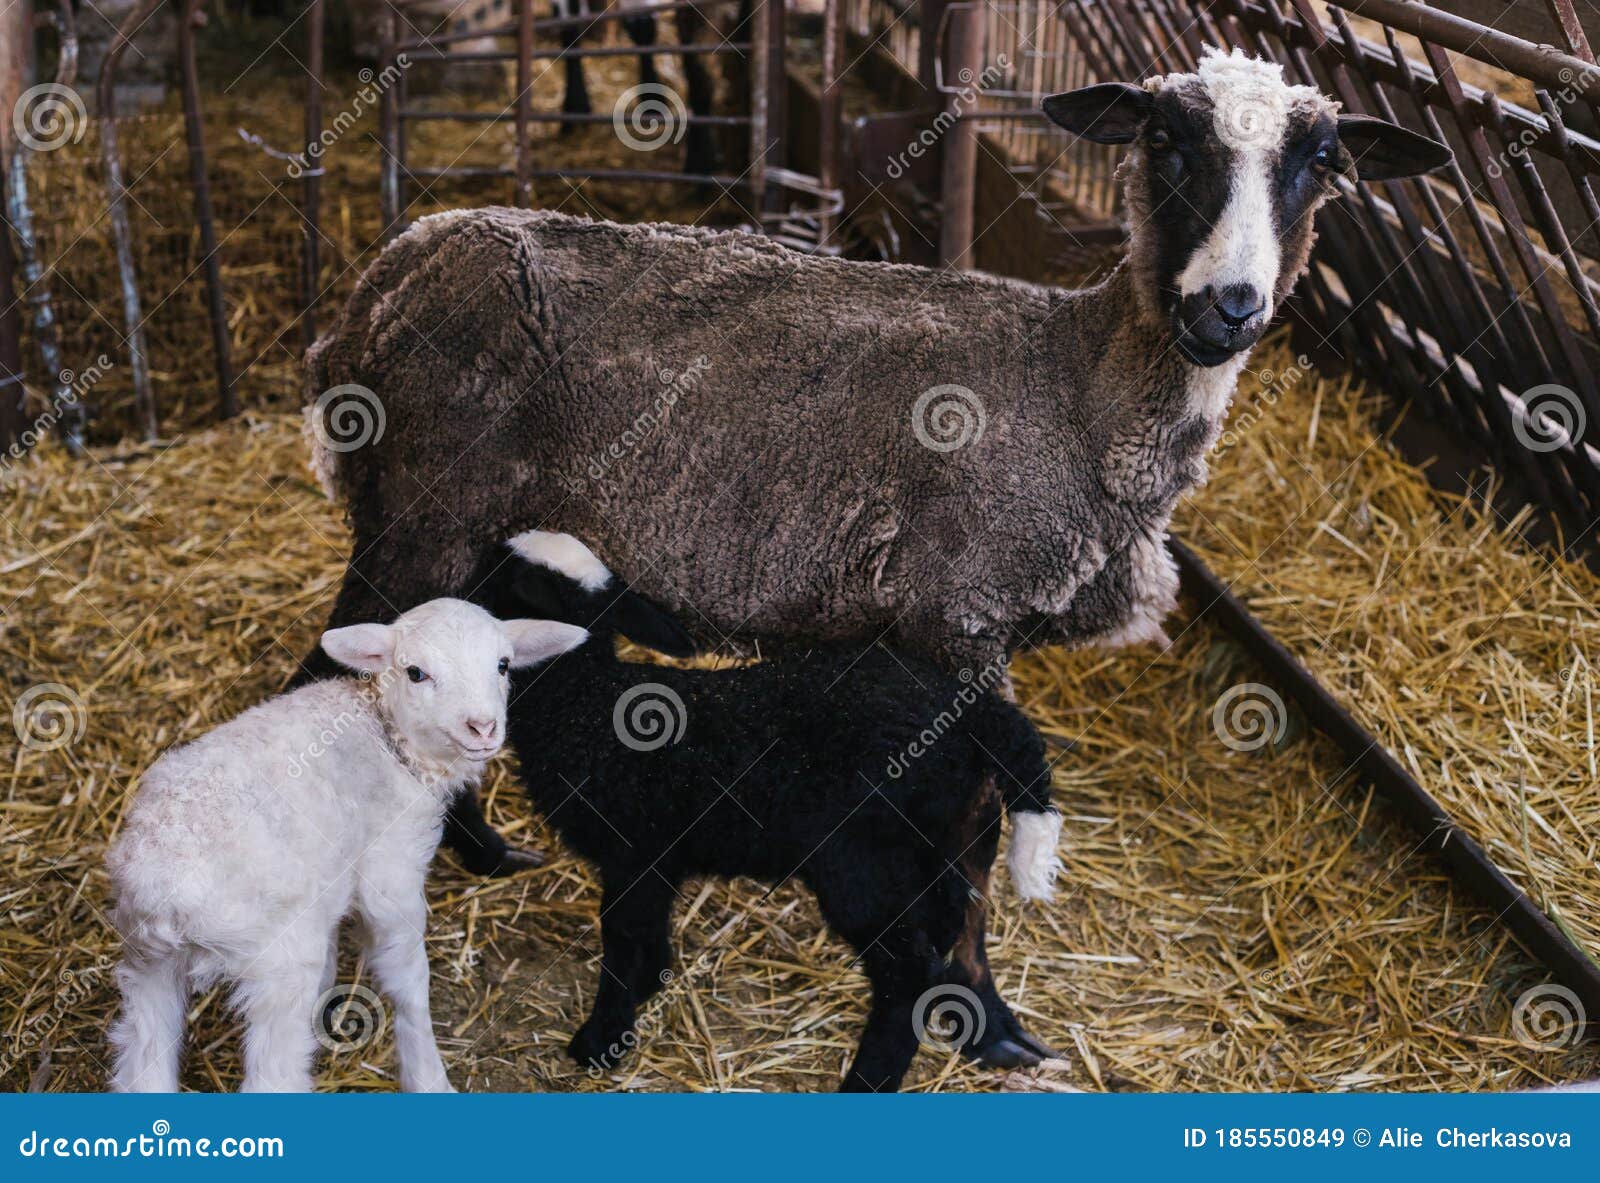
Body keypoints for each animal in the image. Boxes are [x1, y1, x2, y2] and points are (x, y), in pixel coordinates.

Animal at [106, 598, 588, 1092]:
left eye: (503, 664)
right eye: (416, 673)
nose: (483, 727)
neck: (387, 735)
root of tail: (164, 888)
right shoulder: (392, 872)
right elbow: (408, 982)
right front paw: (428, 1077)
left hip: (148, 964)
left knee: (142, 1066)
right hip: (277, 964)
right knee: (273, 1076)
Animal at [300, 48, 1451, 871]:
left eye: (1324, 161)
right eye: (1164, 140)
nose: (1227, 308)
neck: (1077, 386)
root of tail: (384, 281)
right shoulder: (958, 612)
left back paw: (490, 853)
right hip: (426, 508)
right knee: (335, 674)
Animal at [473, 529, 1064, 1092]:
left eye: (504, 576)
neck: (584, 703)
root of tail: (979, 714)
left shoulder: (630, 850)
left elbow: (620, 938)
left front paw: (602, 1039)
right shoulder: (658, 856)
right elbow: (648, 929)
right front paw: (648, 985)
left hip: (860, 865)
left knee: (907, 975)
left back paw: (865, 1084)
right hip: (933, 840)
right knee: (952, 920)